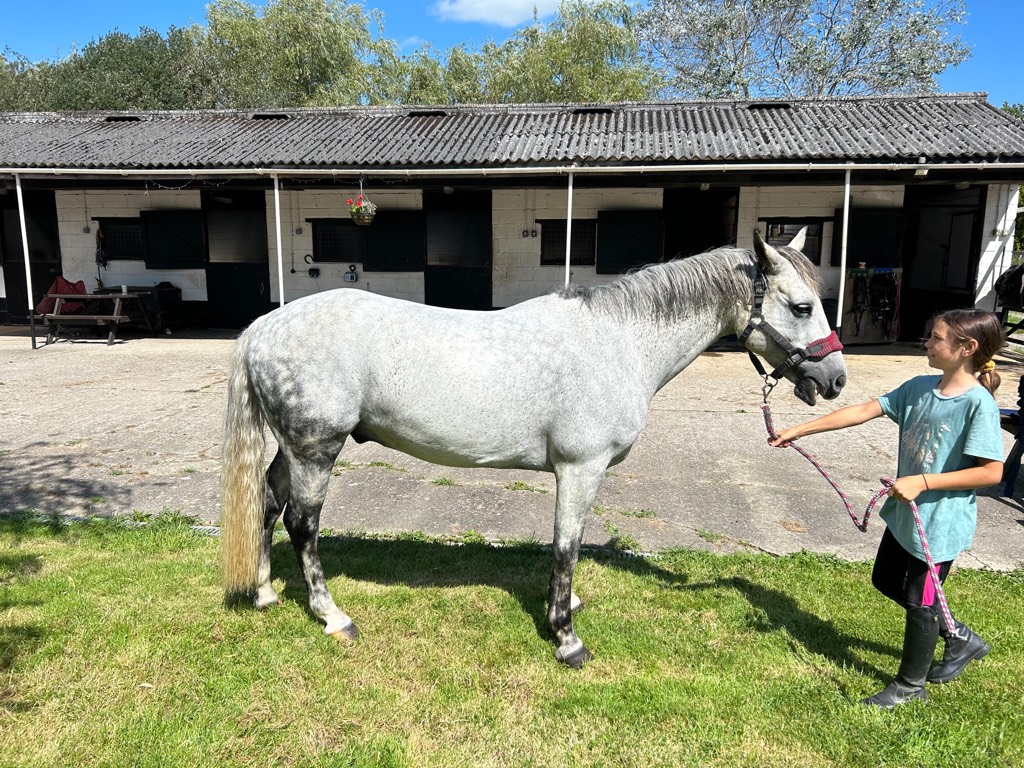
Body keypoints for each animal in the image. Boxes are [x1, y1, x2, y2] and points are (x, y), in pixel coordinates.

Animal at [220, 229, 847, 667]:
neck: (618, 341)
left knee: (268, 504)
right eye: (800, 306)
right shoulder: (580, 469)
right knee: (302, 524)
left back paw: (264, 594)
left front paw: (568, 611)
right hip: (315, 451)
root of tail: (262, 329)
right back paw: (332, 616)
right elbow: (566, 546)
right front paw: (566, 637)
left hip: (293, 450)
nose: (837, 379)